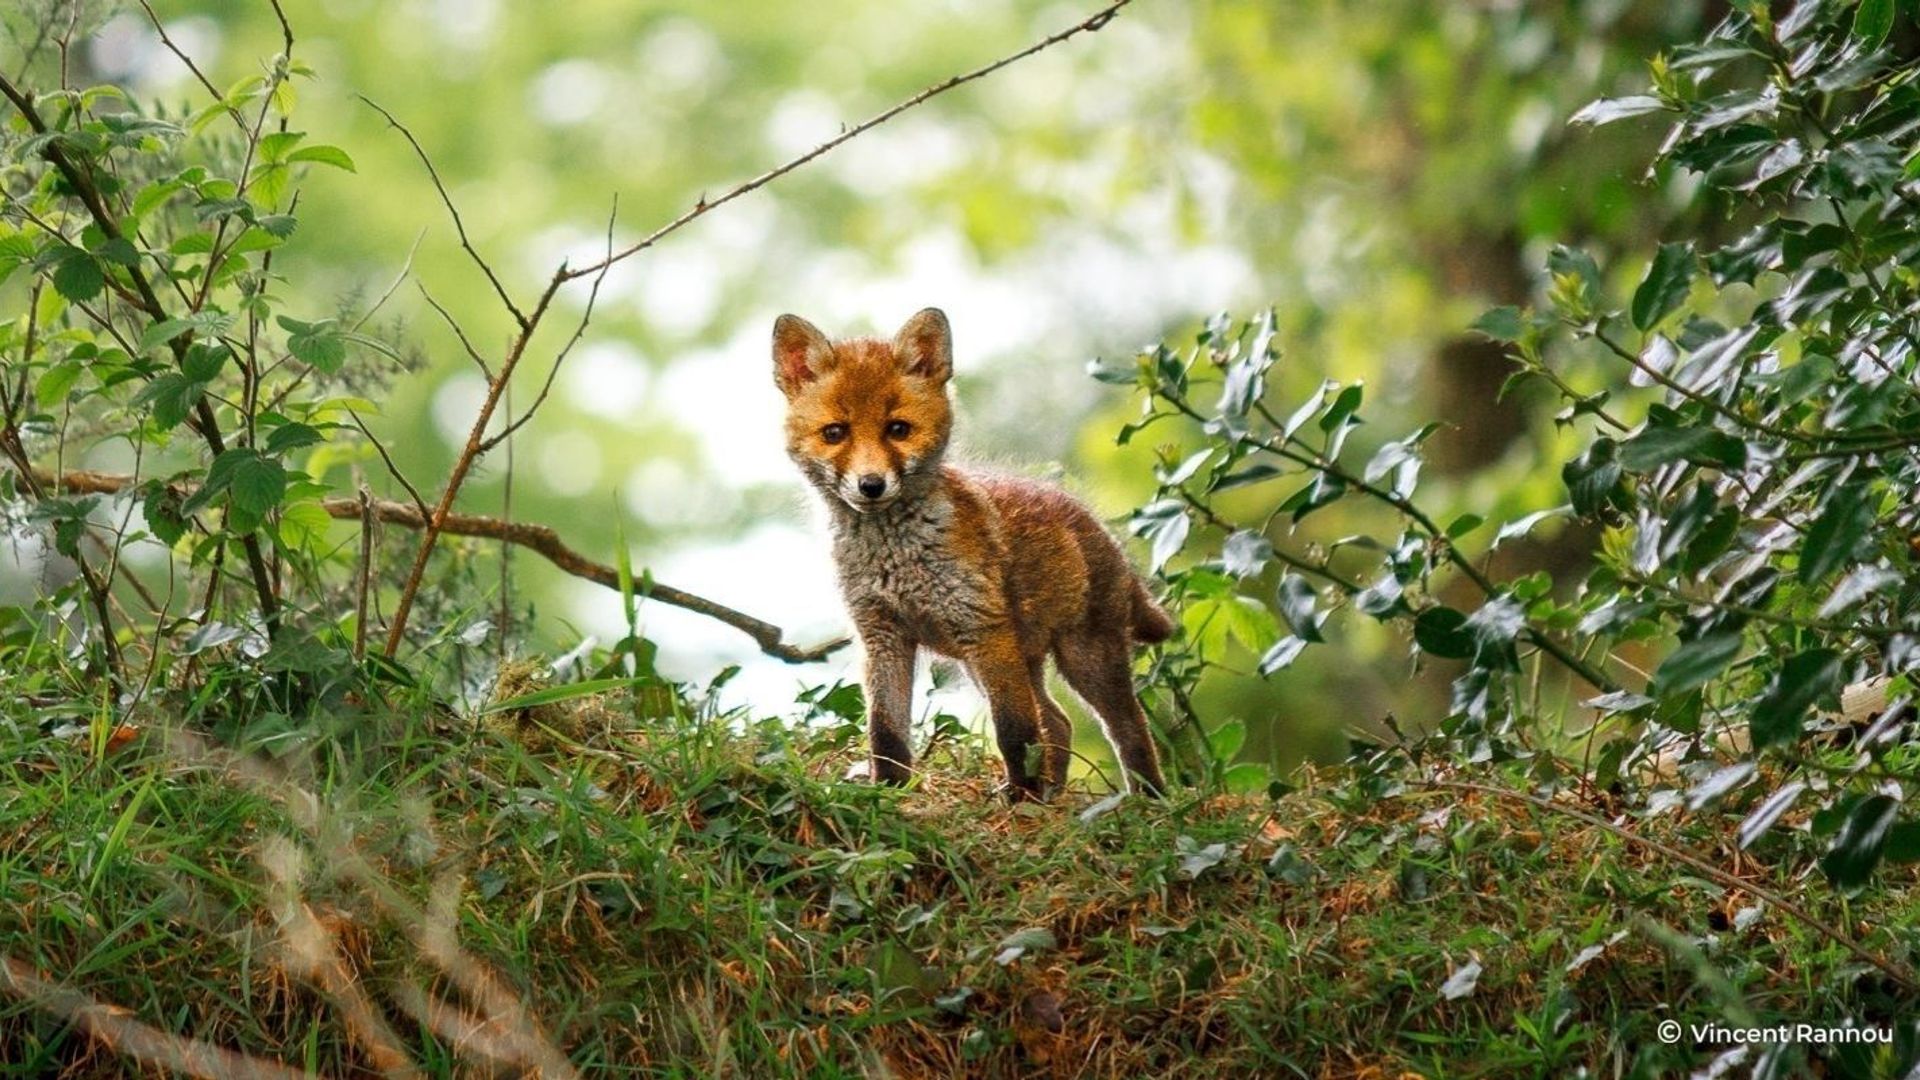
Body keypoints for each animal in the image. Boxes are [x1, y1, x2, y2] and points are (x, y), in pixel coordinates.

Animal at [772, 307, 1174, 801]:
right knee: (1057, 722)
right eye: (835, 433)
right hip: (1001, 663)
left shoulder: (983, 631)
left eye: (898, 429)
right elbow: (885, 732)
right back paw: (1052, 793)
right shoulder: (882, 635)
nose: (871, 485)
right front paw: (889, 790)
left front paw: (1020, 798)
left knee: (1128, 727)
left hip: (1081, 657)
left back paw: (1145, 797)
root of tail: (1094, 522)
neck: (897, 558)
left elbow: (1014, 732)